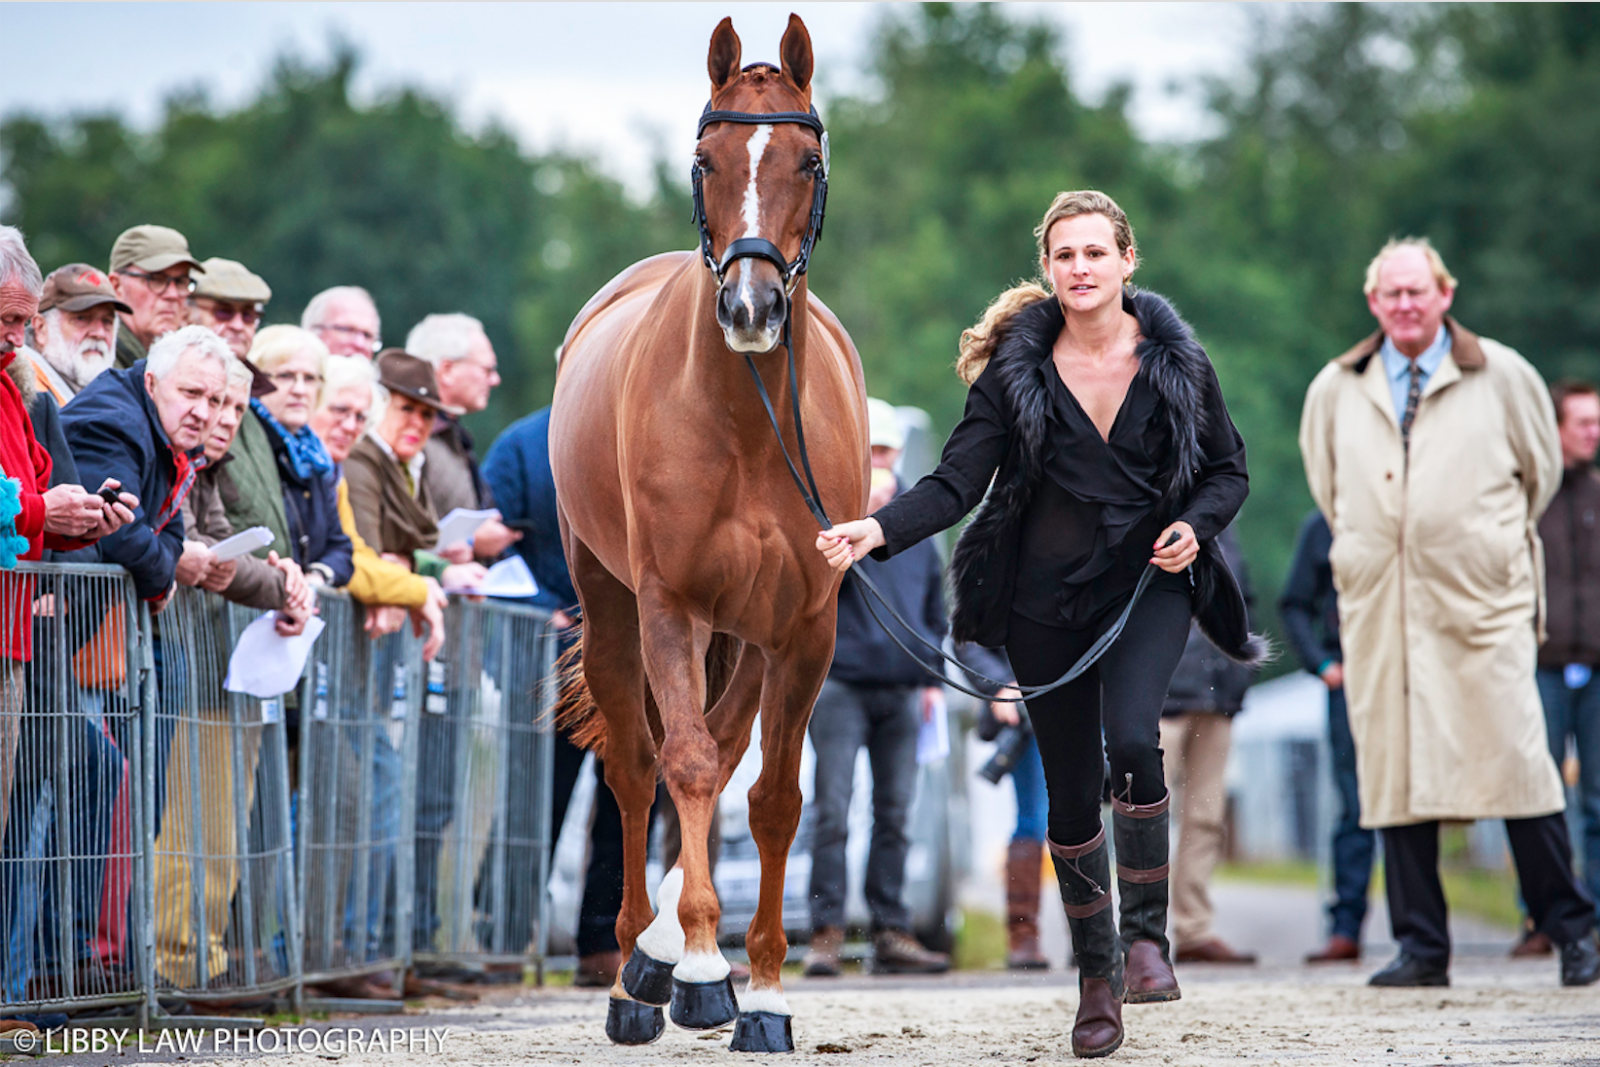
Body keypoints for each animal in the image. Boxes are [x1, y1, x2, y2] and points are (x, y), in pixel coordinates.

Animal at [549, 13, 868, 1054]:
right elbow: (681, 764)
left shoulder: (807, 628)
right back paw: (636, 965)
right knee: (637, 766)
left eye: (808, 160)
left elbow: (772, 798)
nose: (750, 309)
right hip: (614, 607)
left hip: (754, 636)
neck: (747, 422)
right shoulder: (671, 606)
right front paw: (694, 968)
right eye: (704, 159)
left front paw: (761, 991)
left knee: (726, 752)